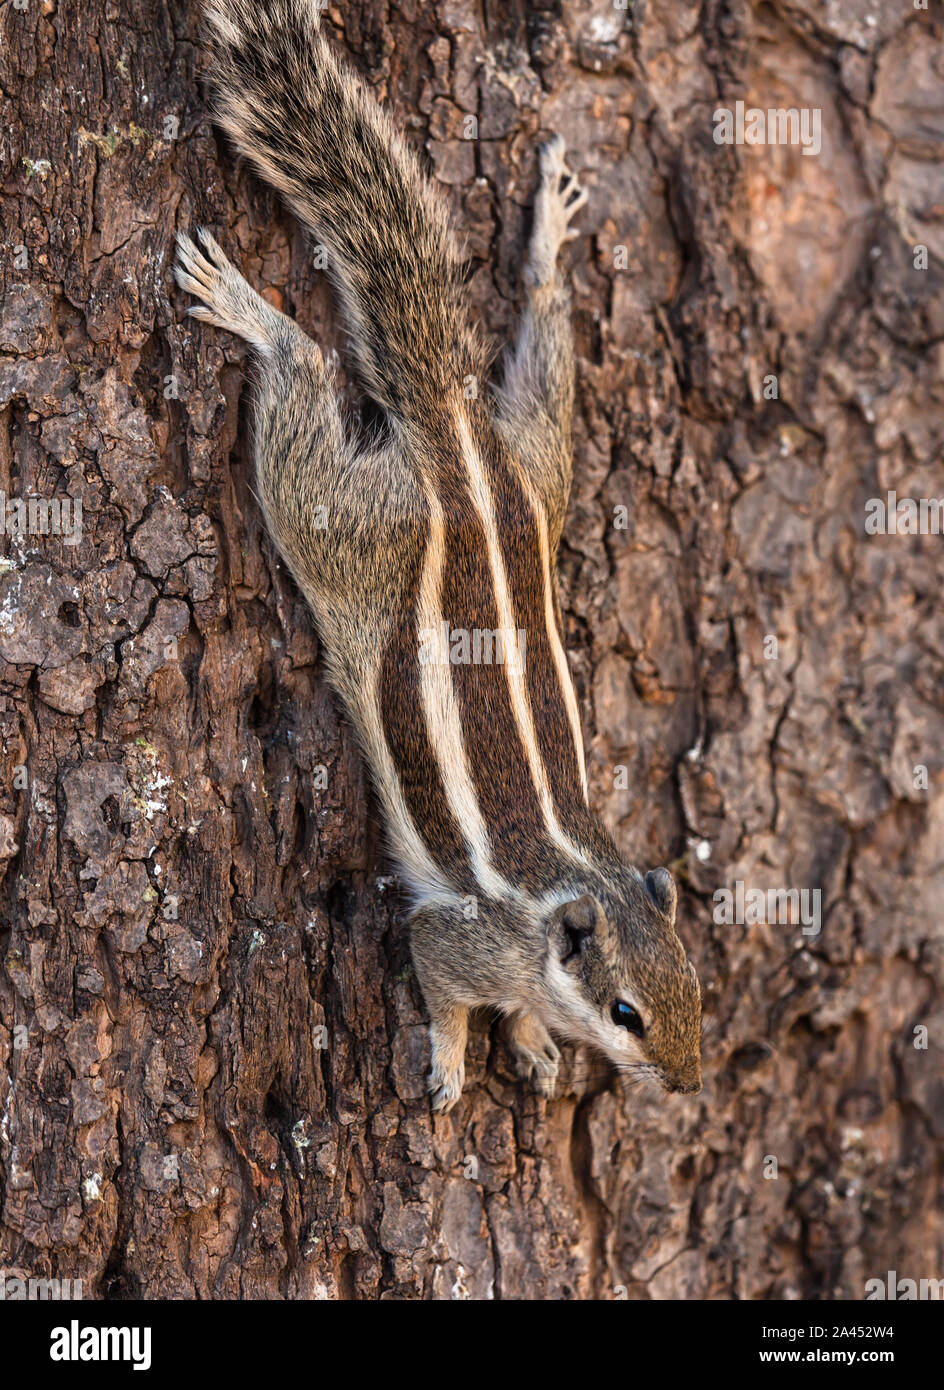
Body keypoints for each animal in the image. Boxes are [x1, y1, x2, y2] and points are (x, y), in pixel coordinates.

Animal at [174, 0, 702, 1112]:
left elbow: (520, 1017)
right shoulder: (457, 938)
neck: (567, 894)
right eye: (626, 1010)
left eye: (694, 982)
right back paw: (252, 314)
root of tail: (458, 439)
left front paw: (535, 1046)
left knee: (545, 353)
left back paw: (547, 244)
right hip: (341, 529)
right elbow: (447, 988)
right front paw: (456, 1065)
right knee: (303, 383)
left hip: (544, 456)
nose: (685, 1080)